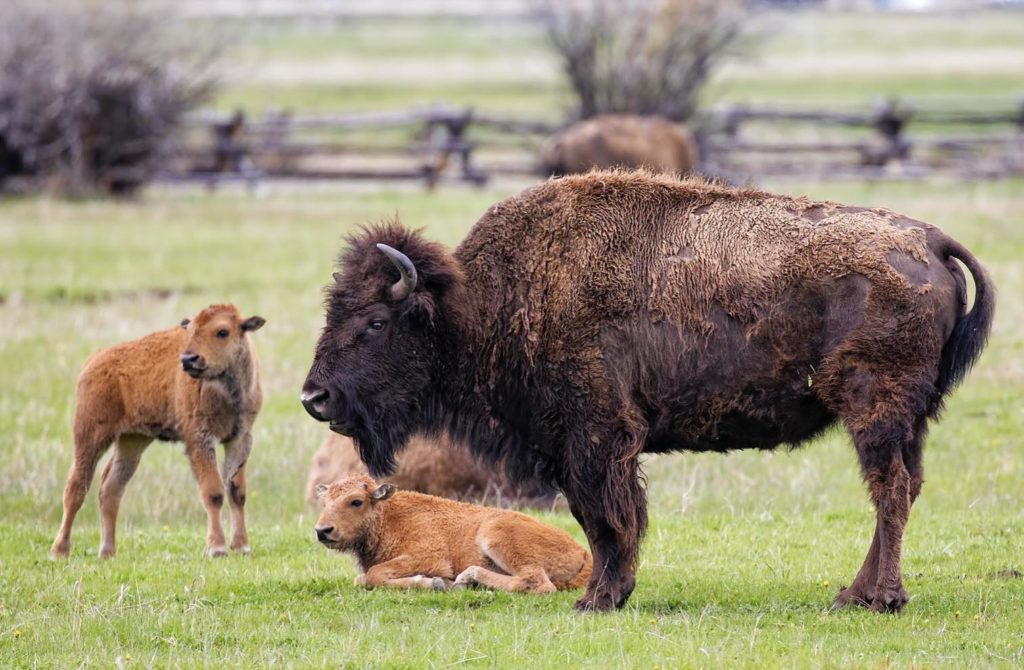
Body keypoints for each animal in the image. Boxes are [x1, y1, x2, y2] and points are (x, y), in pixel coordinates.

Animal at [301, 170, 993, 613]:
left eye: (376, 321)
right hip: (909, 419)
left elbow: (607, 518)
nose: (315, 399)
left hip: (875, 409)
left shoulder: (595, 440)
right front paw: (611, 593)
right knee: (903, 487)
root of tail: (930, 240)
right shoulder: (585, 448)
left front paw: (598, 599)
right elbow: (607, 519)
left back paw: (879, 599)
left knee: (890, 490)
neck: (483, 300)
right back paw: (852, 595)